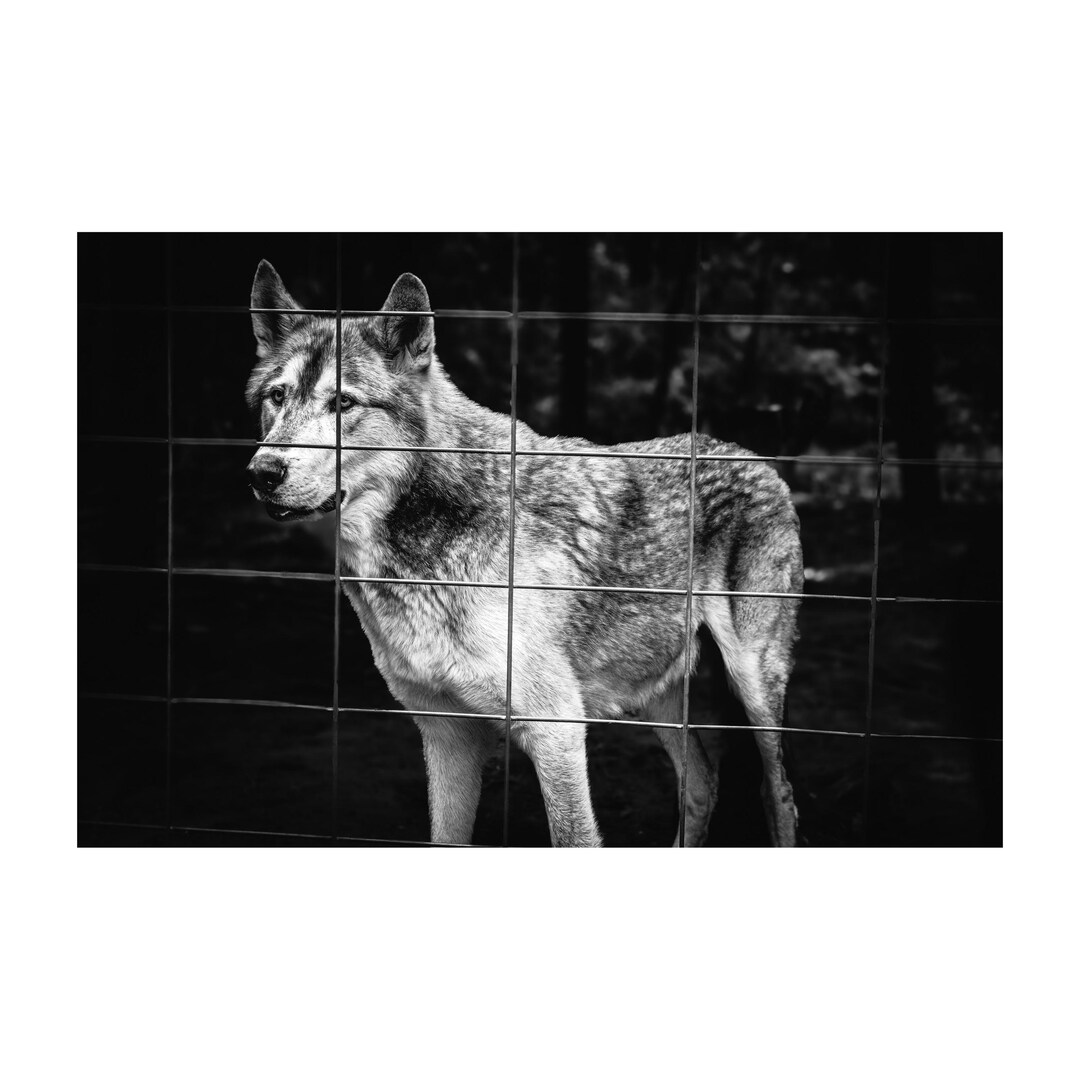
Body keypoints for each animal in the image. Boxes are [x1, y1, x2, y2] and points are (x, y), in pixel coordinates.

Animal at [246, 260, 803, 847]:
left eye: (343, 403)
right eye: (277, 397)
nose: (262, 473)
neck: (424, 562)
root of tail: (754, 456)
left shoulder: (555, 730)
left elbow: (574, 836)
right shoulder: (446, 733)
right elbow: (445, 838)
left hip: (754, 689)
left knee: (778, 795)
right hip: (661, 698)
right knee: (701, 786)